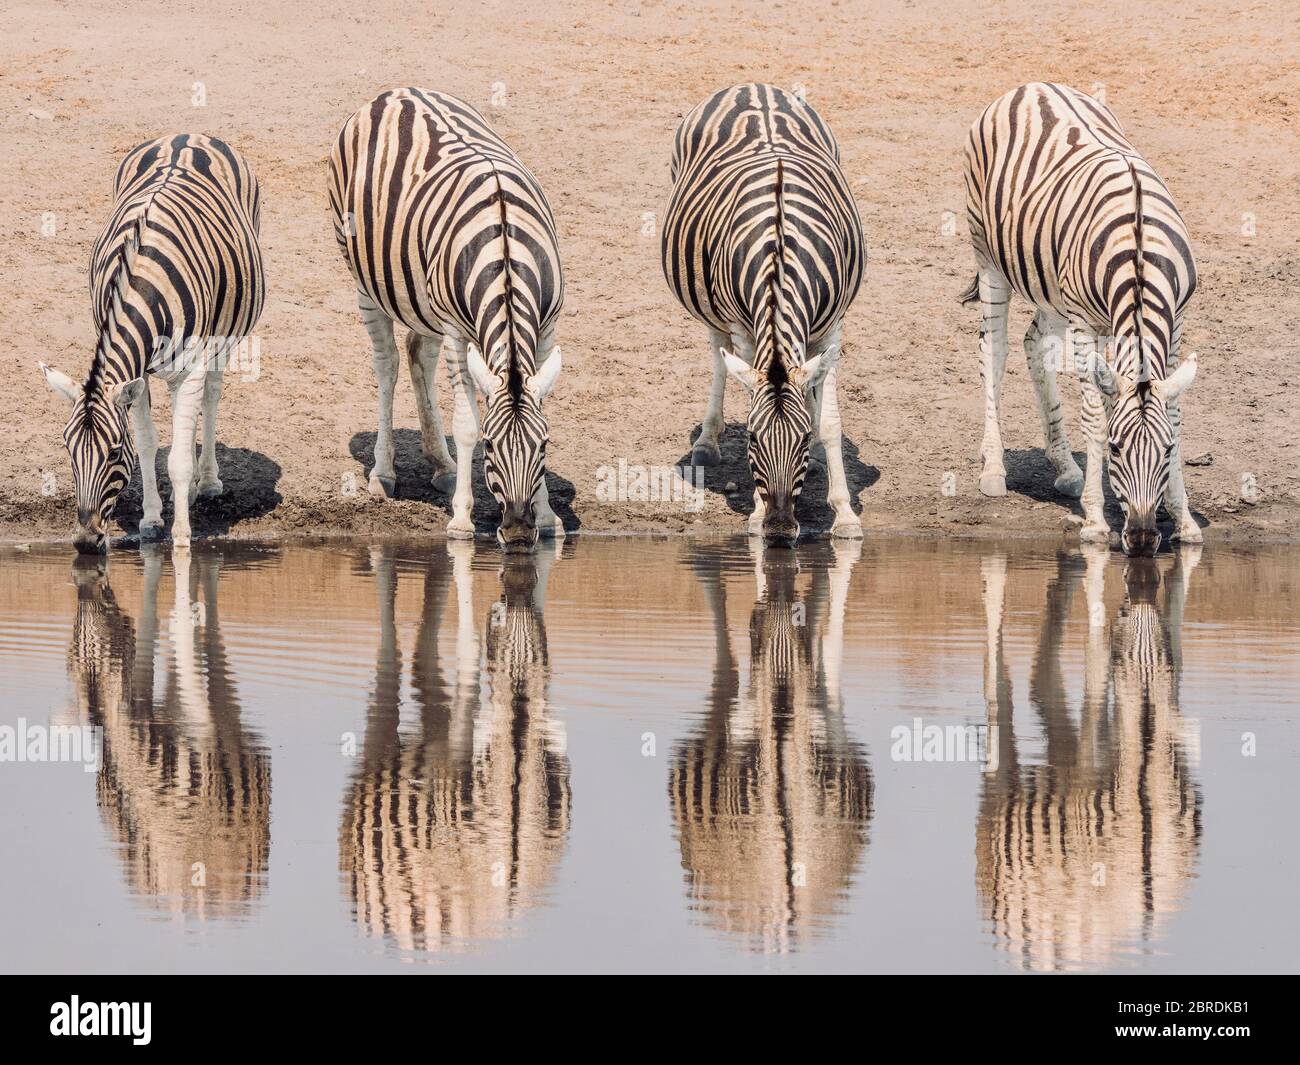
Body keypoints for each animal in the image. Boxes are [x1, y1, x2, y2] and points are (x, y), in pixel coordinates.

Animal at [40, 134, 264, 552]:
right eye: (67, 448)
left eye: (113, 452)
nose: (85, 541)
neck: (142, 280)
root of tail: (188, 135)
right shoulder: (138, 373)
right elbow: (147, 442)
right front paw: (151, 518)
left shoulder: (191, 363)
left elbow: (177, 458)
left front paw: (181, 537)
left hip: (222, 340)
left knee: (210, 398)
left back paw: (207, 482)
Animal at [329, 88, 565, 549]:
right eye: (489, 447)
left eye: (544, 447)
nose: (517, 532)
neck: (505, 251)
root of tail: (396, 92)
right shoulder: (458, 331)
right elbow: (466, 423)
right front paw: (461, 520)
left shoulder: (547, 326)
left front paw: (548, 519)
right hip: (364, 279)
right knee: (388, 365)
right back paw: (383, 473)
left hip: (423, 298)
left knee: (418, 354)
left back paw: (443, 463)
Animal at [662, 84, 866, 544]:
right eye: (753, 439)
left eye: (801, 438)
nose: (779, 529)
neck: (780, 253)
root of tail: (753, 85)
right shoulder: (743, 327)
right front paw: (755, 513)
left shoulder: (832, 328)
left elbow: (830, 420)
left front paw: (844, 513)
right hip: (711, 303)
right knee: (717, 354)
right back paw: (708, 440)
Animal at [963, 83, 1200, 556]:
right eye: (1116, 450)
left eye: (1166, 451)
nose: (1143, 540)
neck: (1138, 250)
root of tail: (1030, 86)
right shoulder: (1084, 324)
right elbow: (1093, 416)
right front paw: (1094, 519)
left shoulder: (1177, 321)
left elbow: (1174, 412)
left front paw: (1182, 518)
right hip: (989, 259)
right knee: (992, 353)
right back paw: (994, 468)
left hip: (1050, 288)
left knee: (1033, 342)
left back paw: (1066, 466)